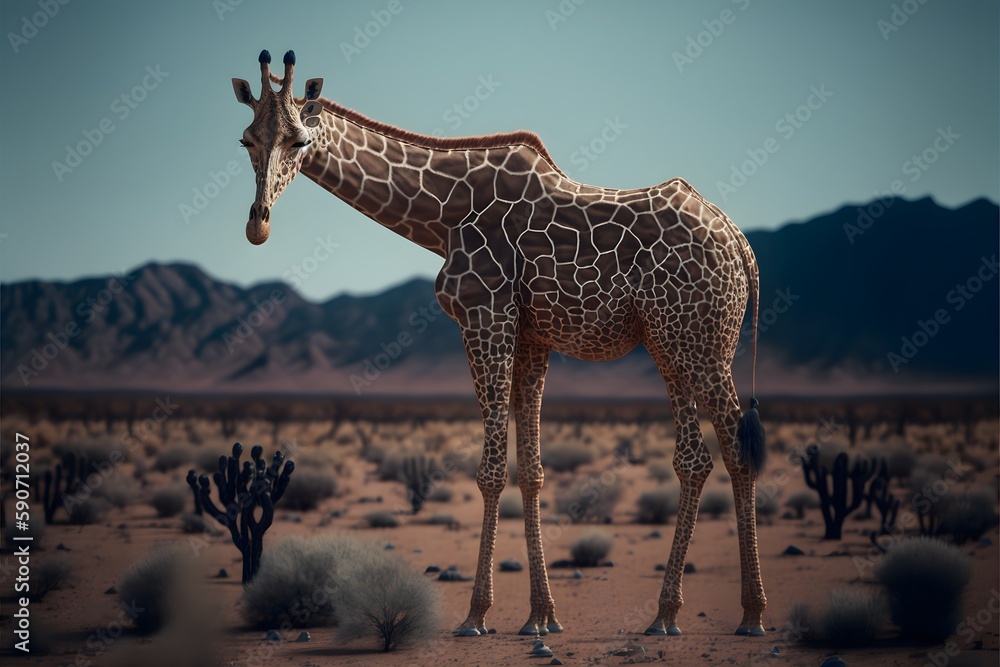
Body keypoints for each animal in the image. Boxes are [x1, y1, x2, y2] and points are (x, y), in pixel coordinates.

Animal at [231, 50, 768, 638]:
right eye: (246, 140)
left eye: (300, 141)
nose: (257, 226)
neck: (439, 216)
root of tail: (741, 245)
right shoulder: (532, 336)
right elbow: (531, 472)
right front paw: (541, 615)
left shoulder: (483, 314)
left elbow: (490, 471)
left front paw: (476, 613)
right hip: (673, 344)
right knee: (696, 457)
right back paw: (676, 613)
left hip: (700, 344)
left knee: (734, 448)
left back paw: (745, 614)